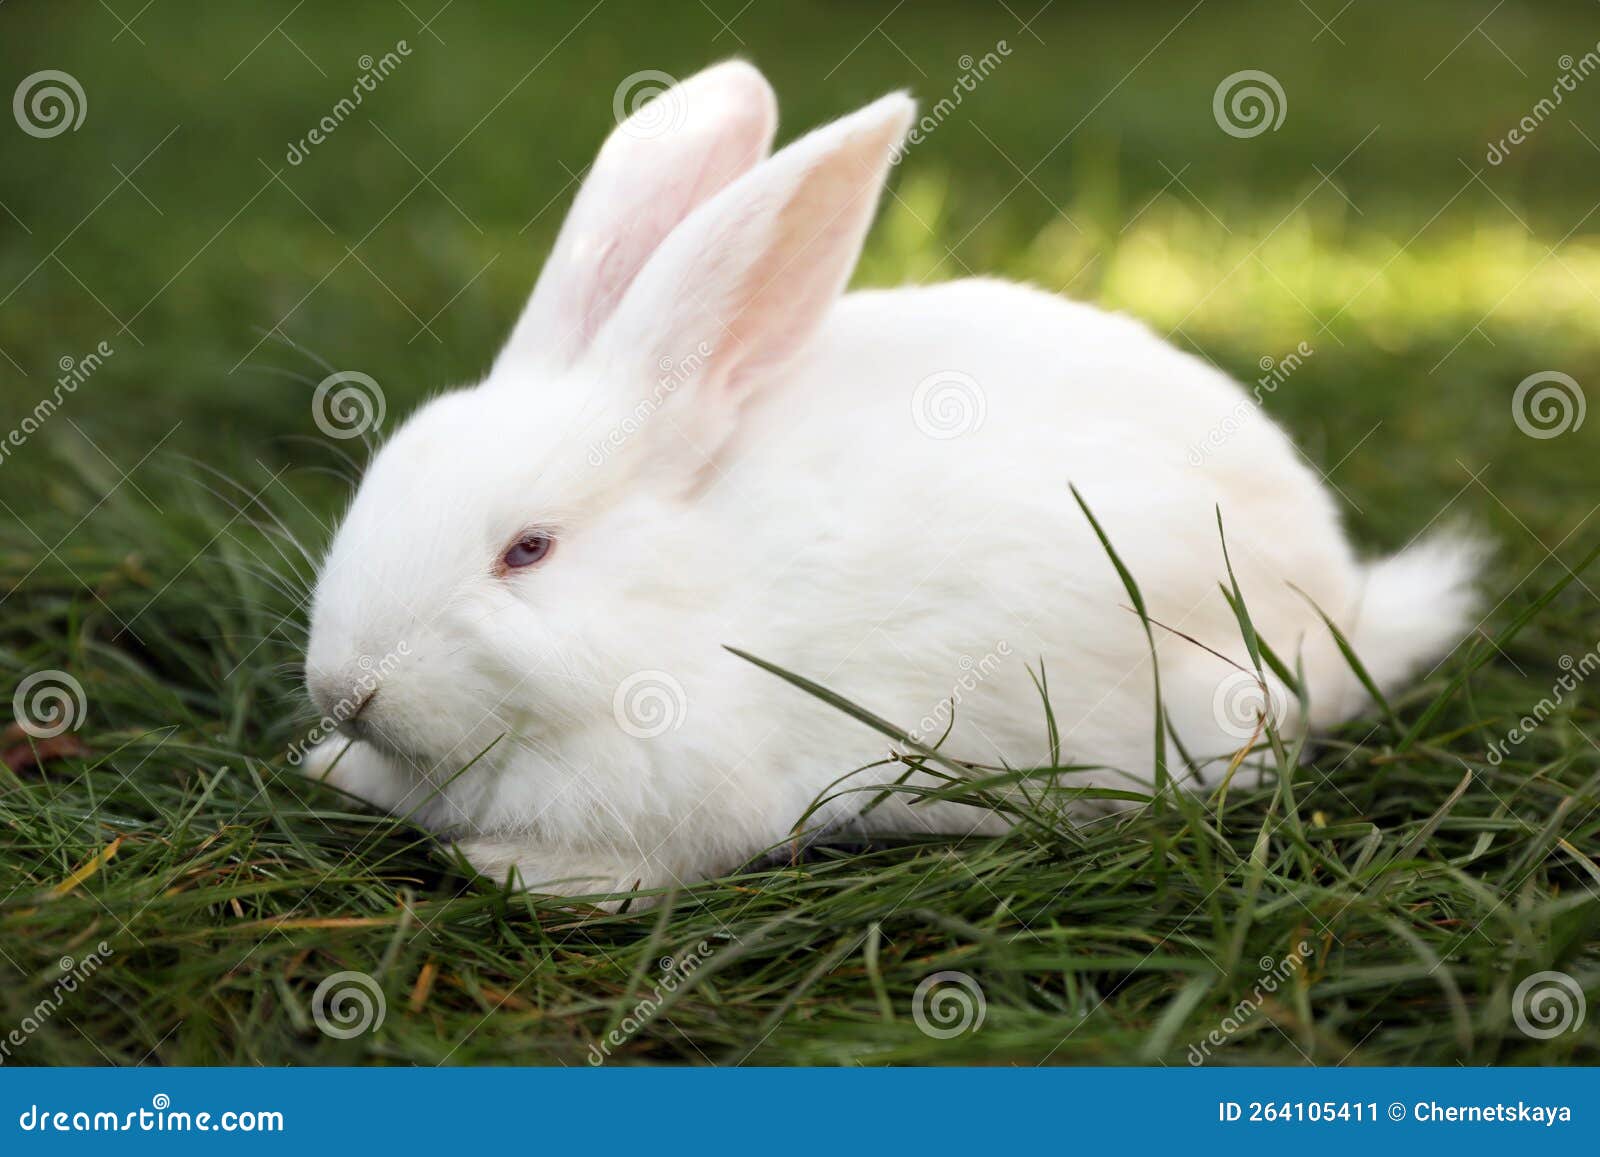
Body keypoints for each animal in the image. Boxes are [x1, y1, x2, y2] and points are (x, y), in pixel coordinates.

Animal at [298, 60, 1481, 901]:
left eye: (528, 550)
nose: (342, 690)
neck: (676, 602)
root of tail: (1345, 606)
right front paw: (329, 770)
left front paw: (503, 869)